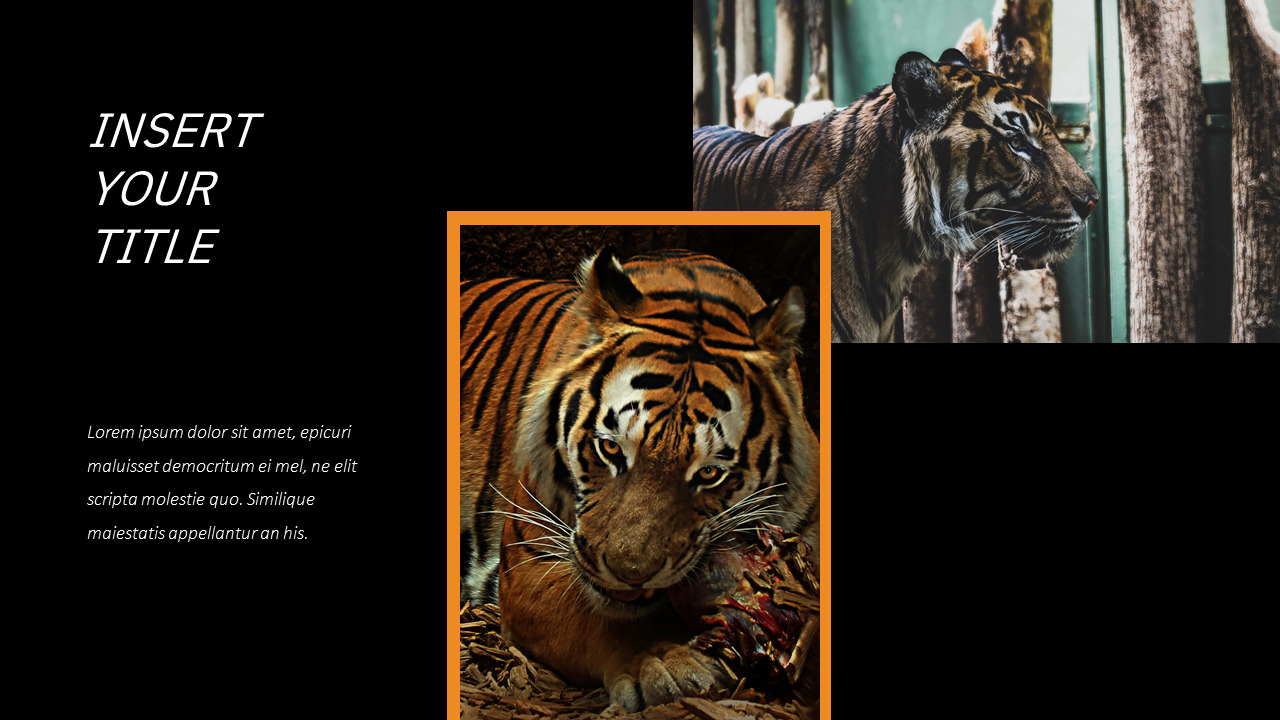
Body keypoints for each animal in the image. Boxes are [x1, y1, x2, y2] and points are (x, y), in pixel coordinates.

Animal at [460, 246, 819, 713]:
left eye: (709, 473)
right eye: (611, 449)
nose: (630, 575)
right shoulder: (528, 563)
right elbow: (602, 620)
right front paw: (665, 664)